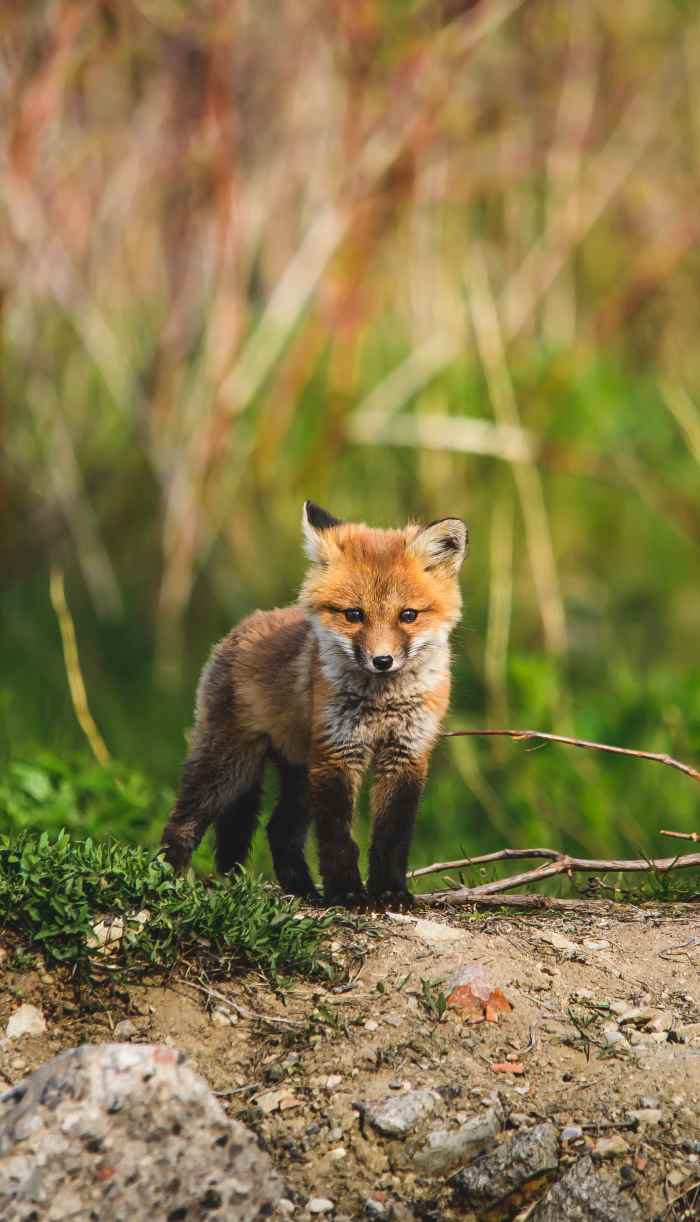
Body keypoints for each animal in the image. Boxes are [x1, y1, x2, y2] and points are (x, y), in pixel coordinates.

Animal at [160, 501, 467, 907]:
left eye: (408, 616)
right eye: (354, 615)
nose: (382, 660)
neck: (382, 702)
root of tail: (244, 625)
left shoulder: (405, 754)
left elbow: (392, 836)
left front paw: (389, 891)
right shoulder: (337, 753)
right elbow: (337, 838)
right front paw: (348, 892)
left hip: (299, 774)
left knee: (278, 830)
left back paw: (302, 889)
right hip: (231, 766)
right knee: (185, 818)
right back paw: (166, 876)